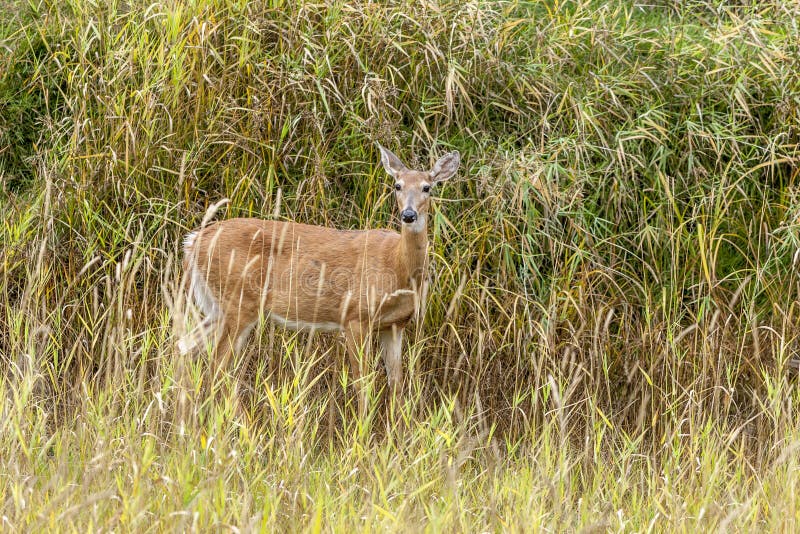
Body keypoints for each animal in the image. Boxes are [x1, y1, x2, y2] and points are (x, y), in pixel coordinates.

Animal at [176, 144, 460, 413]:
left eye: (427, 187)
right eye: (397, 185)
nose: (409, 215)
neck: (398, 267)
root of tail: (193, 242)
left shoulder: (394, 325)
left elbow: (397, 384)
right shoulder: (355, 317)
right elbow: (363, 384)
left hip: (217, 308)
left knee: (185, 346)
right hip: (239, 303)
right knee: (217, 367)